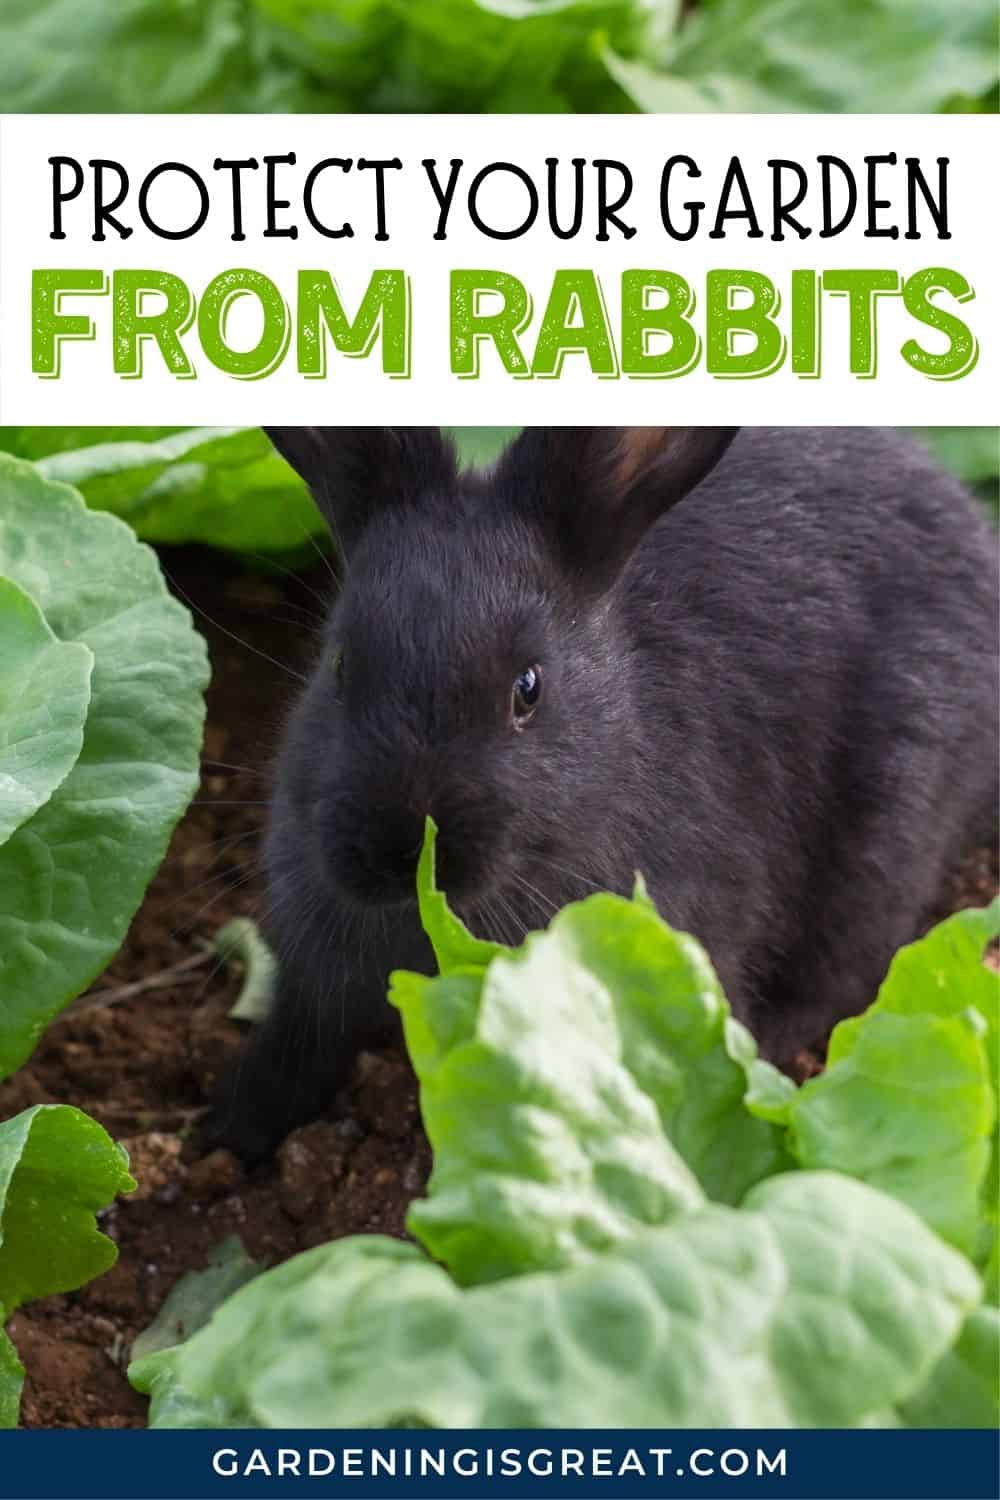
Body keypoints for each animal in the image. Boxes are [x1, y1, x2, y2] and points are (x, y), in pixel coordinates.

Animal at [208, 425, 999, 1161]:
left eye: (528, 689)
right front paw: (230, 1130)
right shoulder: (313, 977)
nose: (400, 851)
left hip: (888, 828)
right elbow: (295, 1045)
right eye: (340, 665)